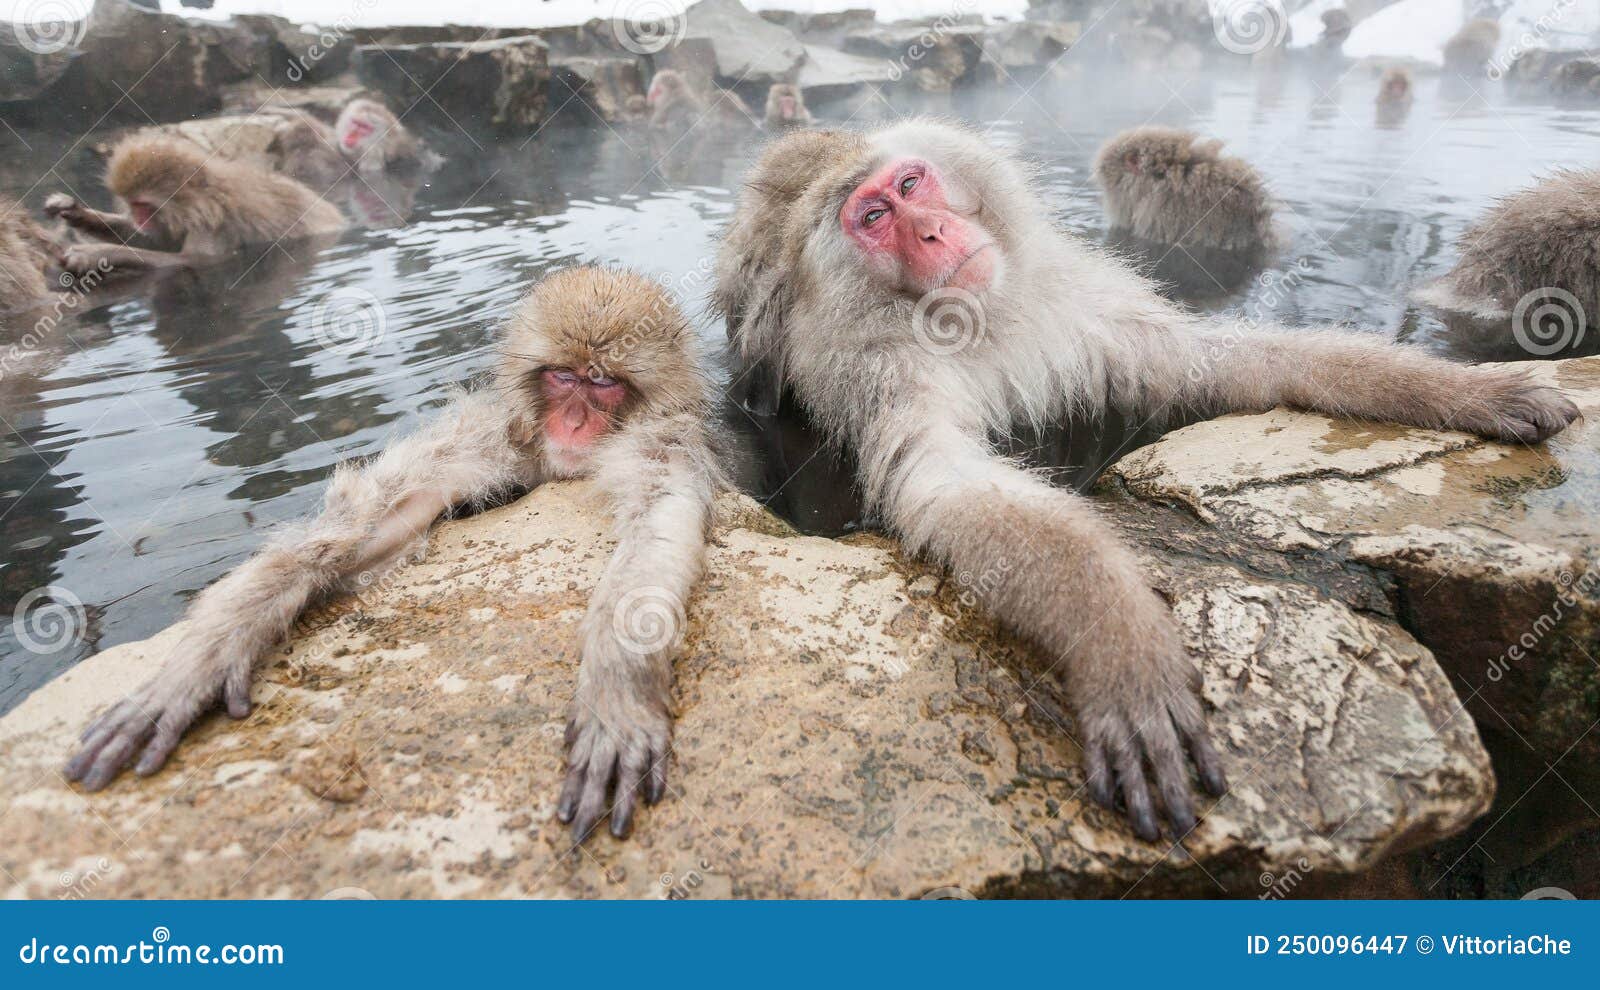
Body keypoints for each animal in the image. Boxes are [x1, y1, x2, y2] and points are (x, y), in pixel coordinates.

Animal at [44, 135, 345, 274]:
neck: (198, 201)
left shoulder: (214, 222)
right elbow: (154, 241)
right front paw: (75, 211)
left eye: (143, 205)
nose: (139, 219)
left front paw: (96, 254)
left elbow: (192, 261)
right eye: (131, 205)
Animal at [64, 266, 725, 843]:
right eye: (564, 376)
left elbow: (656, 526)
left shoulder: (663, 443)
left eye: (603, 382)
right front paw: (205, 656)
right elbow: (371, 530)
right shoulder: (491, 441)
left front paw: (618, 692)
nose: (574, 422)